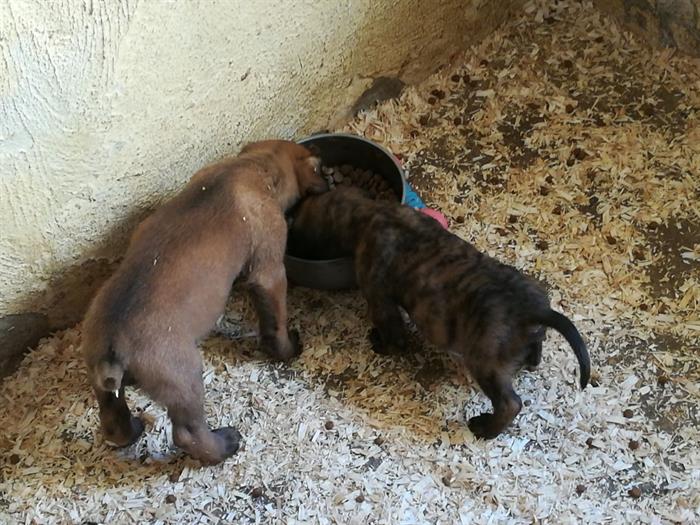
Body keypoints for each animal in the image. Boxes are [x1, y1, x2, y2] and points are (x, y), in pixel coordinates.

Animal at [82, 139, 326, 462]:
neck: (254, 165)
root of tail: (113, 345)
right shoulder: (270, 271)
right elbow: (276, 321)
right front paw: (288, 348)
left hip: (103, 384)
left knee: (112, 420)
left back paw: (131, 430)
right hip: (184, 378)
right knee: (188, 434)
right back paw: (224, 445)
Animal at [290, 186, 592, 440]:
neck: (369, 213)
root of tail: (532, 310)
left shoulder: (379, 299)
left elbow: (392, 332)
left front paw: (380, 343)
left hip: (484, 362)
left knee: (510, 404)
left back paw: (485, 429)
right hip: (527, 339)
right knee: (537, 349)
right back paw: (530, 361)